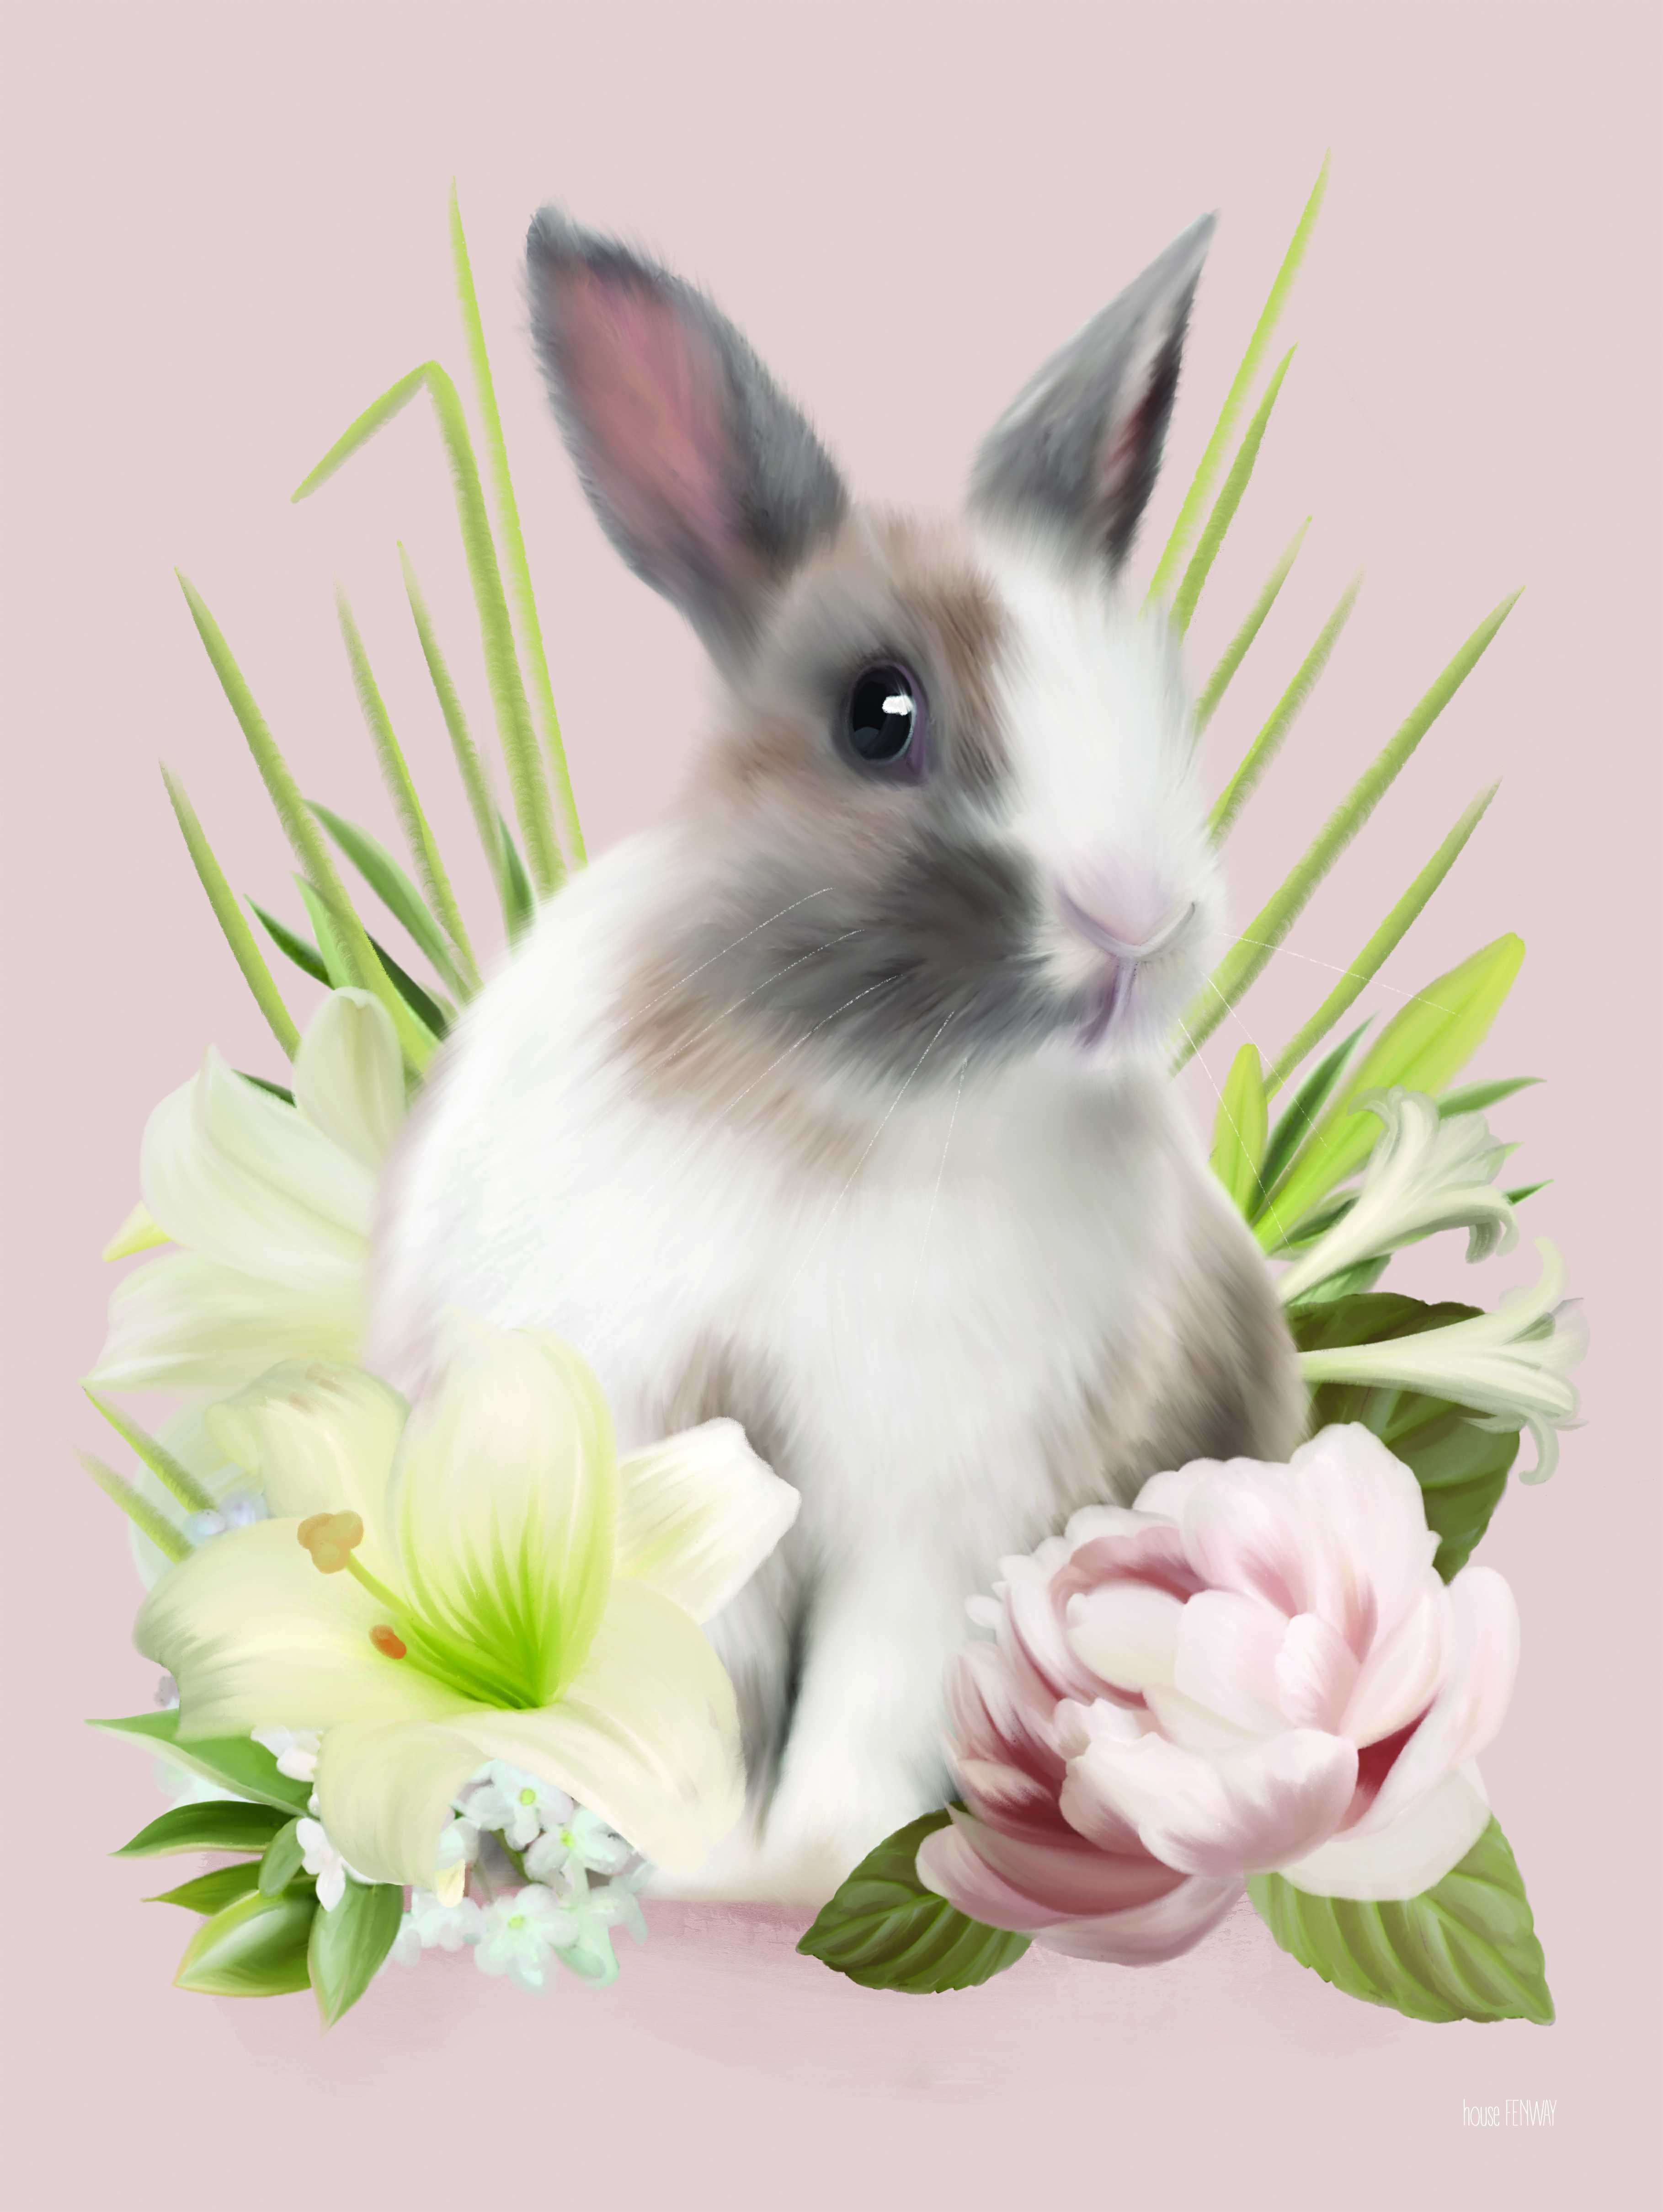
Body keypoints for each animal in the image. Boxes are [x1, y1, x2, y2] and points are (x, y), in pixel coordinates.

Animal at [364, 205, 1307, 1908]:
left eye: (1159, 698)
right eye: (880, 714)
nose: (1137, 919)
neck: (844, 1100)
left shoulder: (953, 1506)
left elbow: (877, 1688)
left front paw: (811, 1864)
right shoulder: (651, 1433)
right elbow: (686, 1675)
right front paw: (686, 1860)